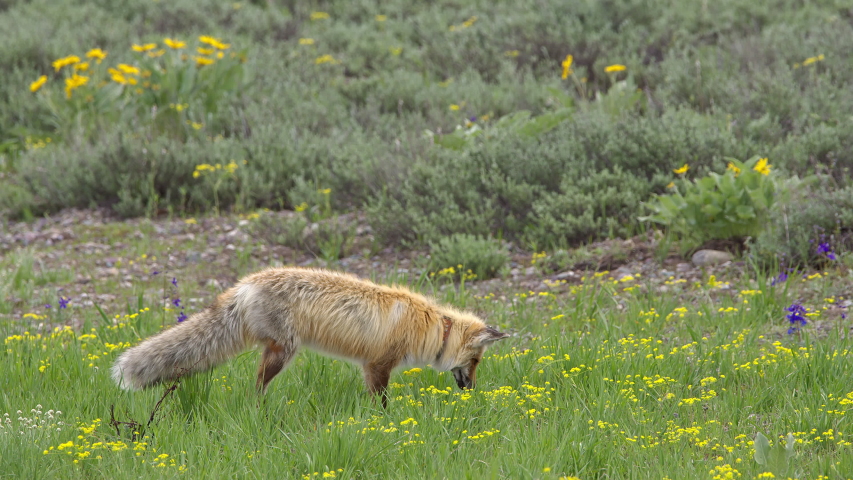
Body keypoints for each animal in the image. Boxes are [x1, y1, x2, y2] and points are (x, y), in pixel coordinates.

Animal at [112, 267, 509, 407]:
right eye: (475, 362)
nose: (472, 390)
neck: (431, 326)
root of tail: (247, 283)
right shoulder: (377, 366)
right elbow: (381, 405)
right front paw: (384, 424)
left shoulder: (372, 367)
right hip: (283, 353)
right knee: (257, 387)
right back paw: (259, 411)